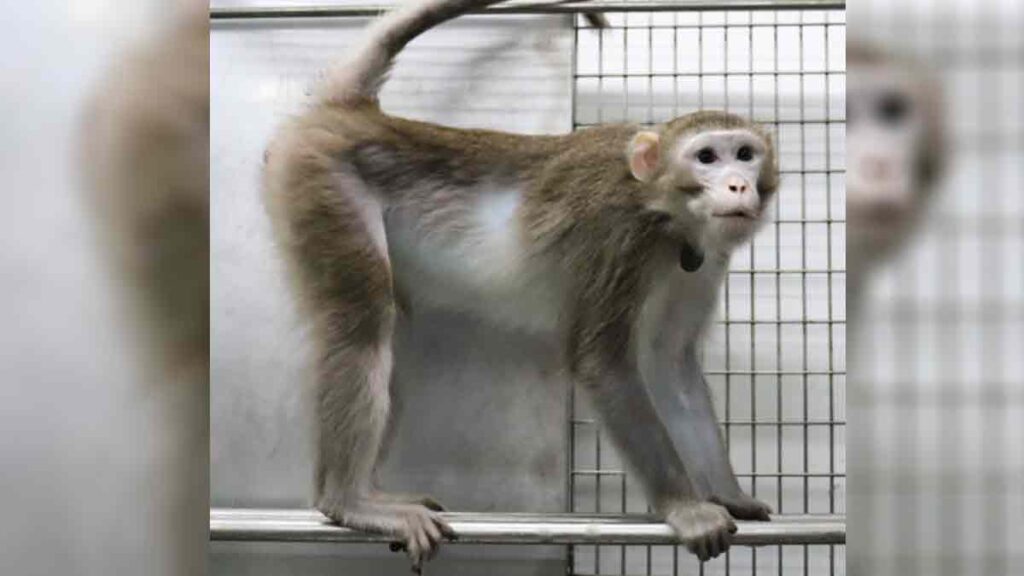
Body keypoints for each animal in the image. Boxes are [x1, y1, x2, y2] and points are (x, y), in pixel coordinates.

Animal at [262, 0, 777, 570]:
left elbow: (670, 364)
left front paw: (727, 492)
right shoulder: (618, 239)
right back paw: (348, 501)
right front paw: (686, 508)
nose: (739, 185)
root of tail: (356, 112)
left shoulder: (702, 261)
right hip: (323, 183)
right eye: (707, 157)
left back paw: (367, 492)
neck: (664, 214)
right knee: (364, 324)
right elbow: (603, 365)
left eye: (745, 154)